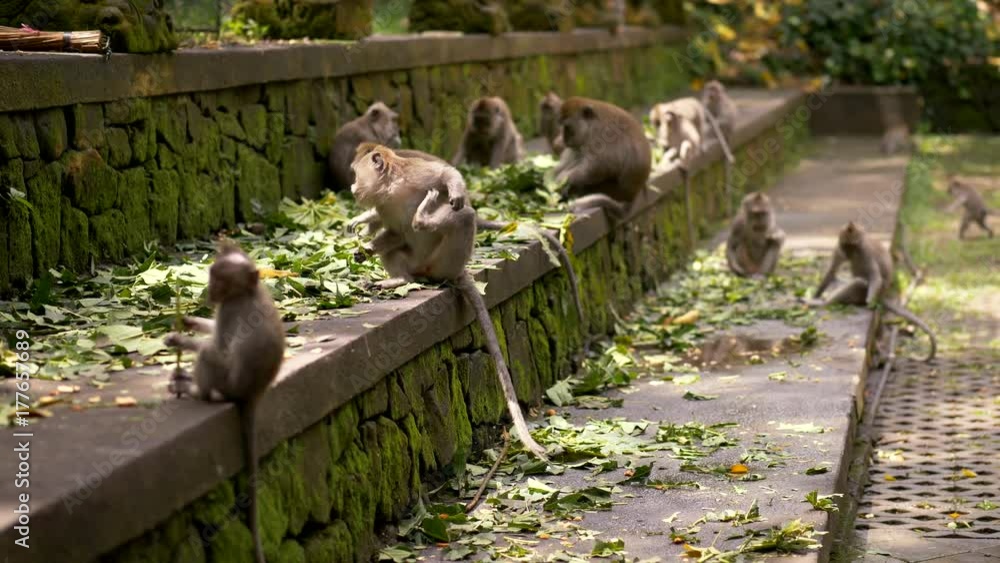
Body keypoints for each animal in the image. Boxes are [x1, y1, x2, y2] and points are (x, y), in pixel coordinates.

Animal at [164, 241, 285, 563]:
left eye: (221, 280)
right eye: (211, 276)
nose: (209, 291)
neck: (247, 291)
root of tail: (254, 393)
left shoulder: (230, 310)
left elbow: (218, 346)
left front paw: (179, 339)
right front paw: (189, 320)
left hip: (228, 381)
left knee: (210, 355)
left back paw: (193, 390)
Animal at [349, 144, 549, 460]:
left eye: (357, 173)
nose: (353, 187)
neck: (392, 189)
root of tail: (451, 270)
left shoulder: (415, 176)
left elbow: (445, 174)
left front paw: (452, 192)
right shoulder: (384, 207)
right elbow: (392, 233)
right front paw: (364, 249)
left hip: (445, 260)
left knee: (464, 216)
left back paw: (424, 219)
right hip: (417, 264)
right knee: (399, 247)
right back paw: (399, 279)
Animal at [813, 222, 937, 362]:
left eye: (852, 246)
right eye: (846, 246)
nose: (847, 254)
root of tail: (882, 297)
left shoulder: (865, 253)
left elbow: (875, 277)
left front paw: (870, 303)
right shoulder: (839, 249)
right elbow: (831, 272)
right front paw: (816, 294)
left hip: (861, 293)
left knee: (859, 283)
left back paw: (822, 303)